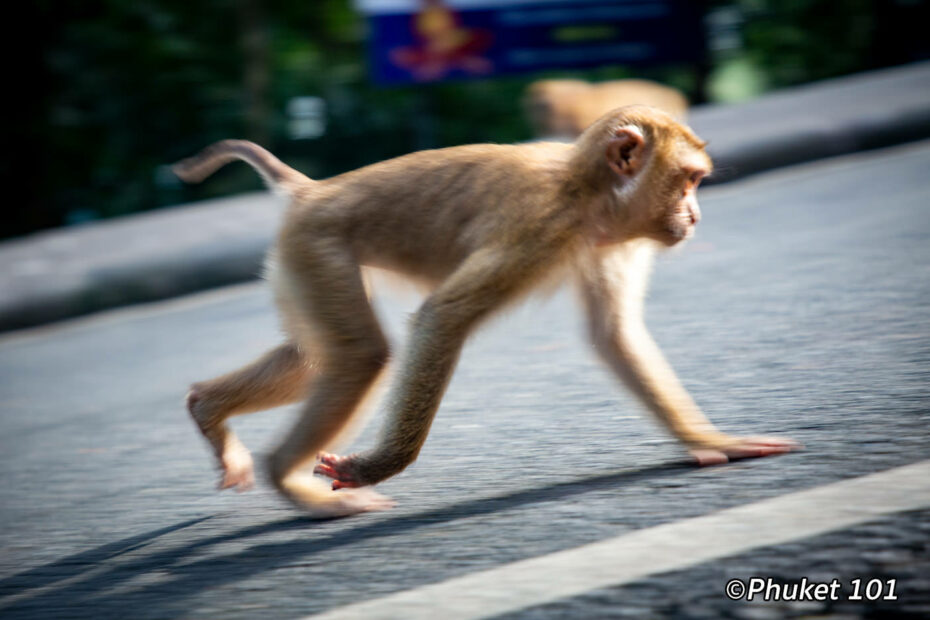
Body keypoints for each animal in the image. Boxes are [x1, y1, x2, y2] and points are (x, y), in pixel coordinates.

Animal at [176, 105, 798, 519]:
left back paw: (210, 411)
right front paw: (377, 465)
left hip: (298, 259)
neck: (587, 191)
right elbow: (443, 317)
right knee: (361, 356)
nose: (694, 217)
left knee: (318, 357)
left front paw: (709, 439)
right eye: (688, 181)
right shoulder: (540, 228)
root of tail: (312, 190)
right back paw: (288, 478)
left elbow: (614, 334)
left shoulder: (609, 243)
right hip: (316, 246)